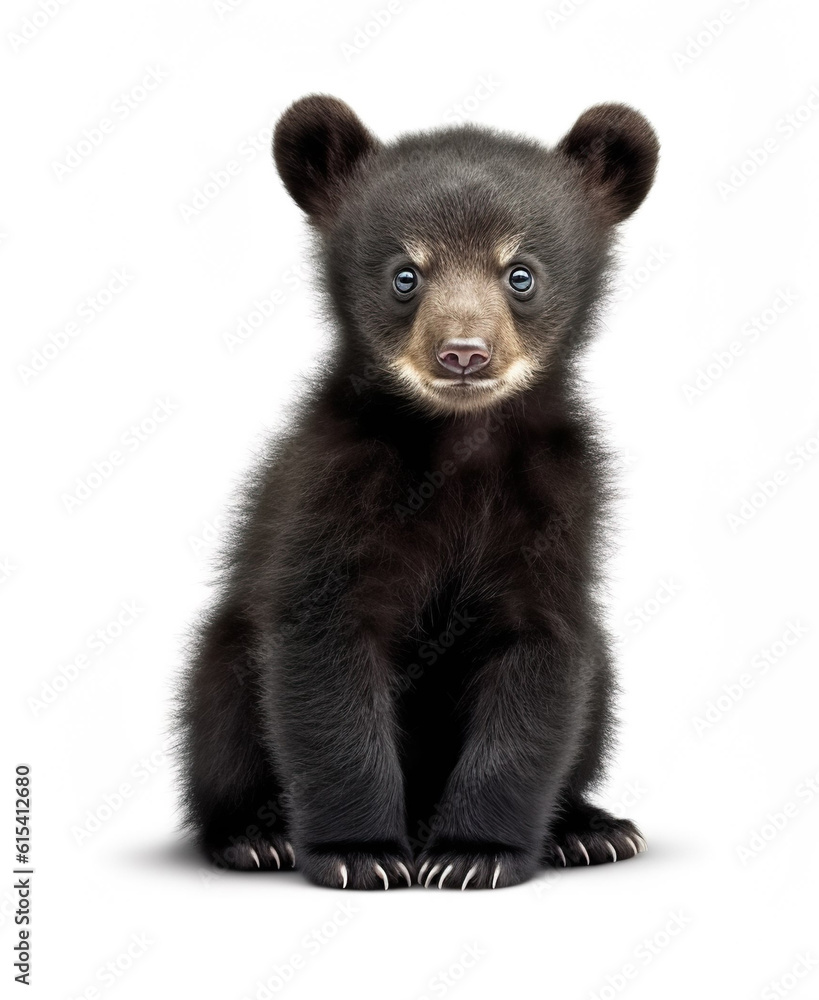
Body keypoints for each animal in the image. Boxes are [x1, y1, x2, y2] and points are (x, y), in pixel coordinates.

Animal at [176, 95, 659, 890]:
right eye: (406, 275)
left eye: (519, 274)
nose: (463, 353)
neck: (457, 446)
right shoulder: (332, 493)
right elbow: (326, 667)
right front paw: (359, 853)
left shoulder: (559, 510)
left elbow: (538, 668)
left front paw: (475, 854)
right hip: (224, 657)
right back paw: (257, 836)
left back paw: (587, 831)